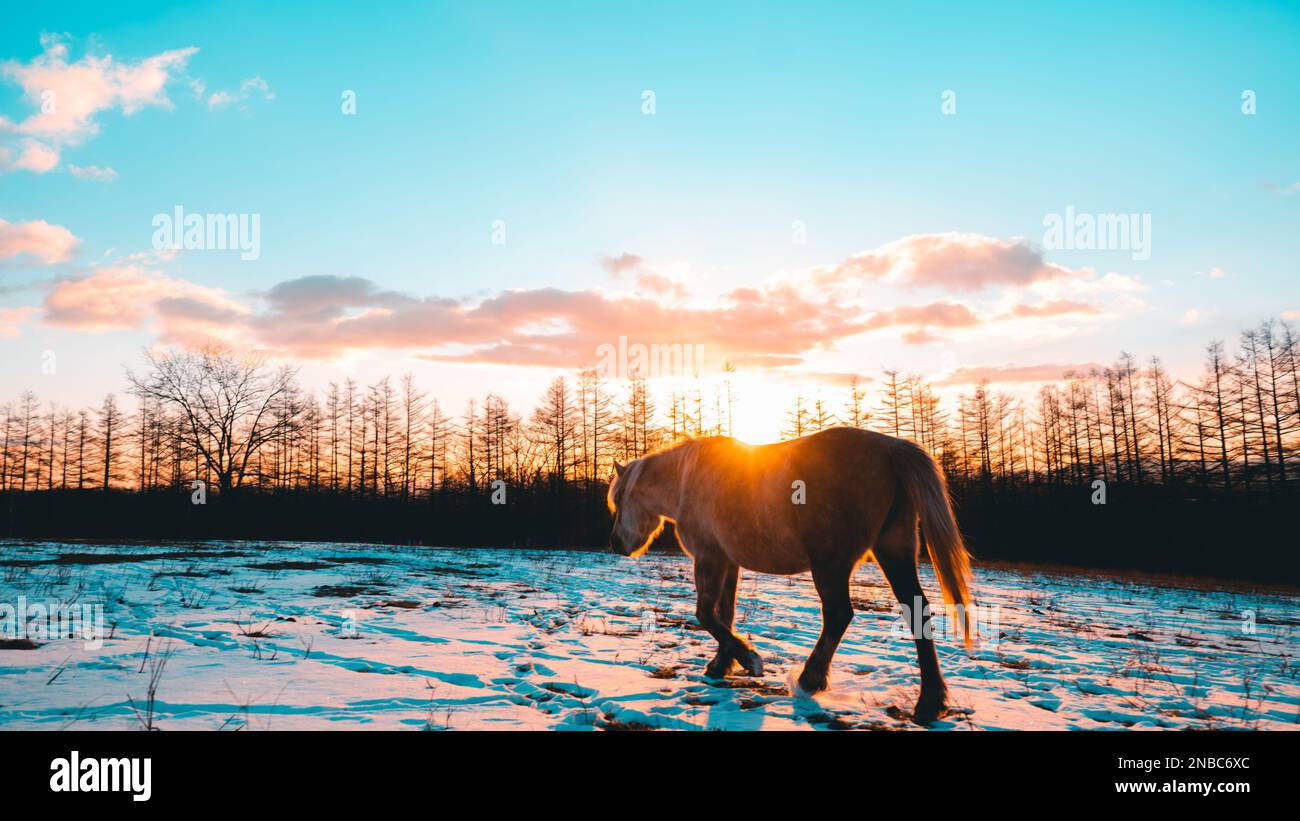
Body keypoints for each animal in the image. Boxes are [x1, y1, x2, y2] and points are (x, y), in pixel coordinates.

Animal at [607, 426, 973, 725]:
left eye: (620, 499)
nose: (616, 543)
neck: (688, 481)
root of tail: (890, 448)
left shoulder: (709, 557)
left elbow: (706, 614)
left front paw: (750, 661)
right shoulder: (728, 561)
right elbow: (725, 614)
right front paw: (721, 665)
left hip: (832, 563)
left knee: (839, 614)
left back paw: (810, 680)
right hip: (893, 550)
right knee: (917, 612)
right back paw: (930, 703)